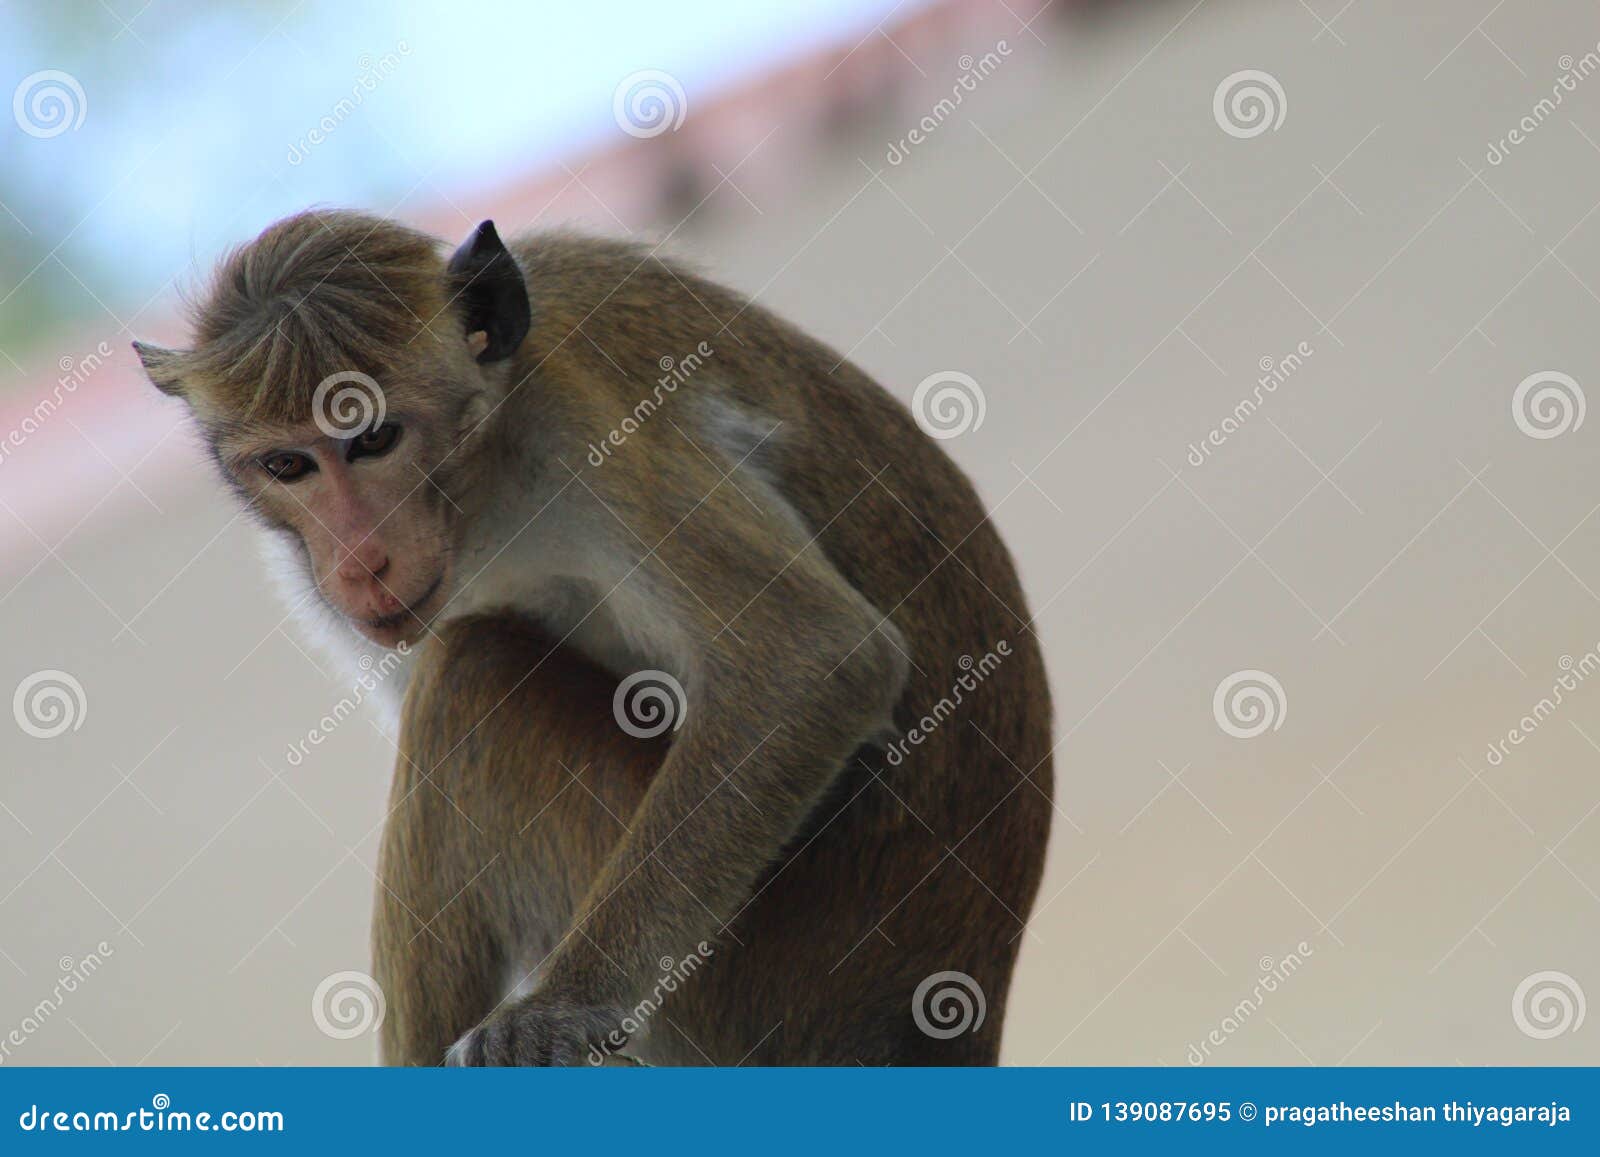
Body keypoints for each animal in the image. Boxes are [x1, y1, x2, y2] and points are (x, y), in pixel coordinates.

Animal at [134, 209, 1054, 1065]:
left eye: (373, 438)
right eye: (288, 466)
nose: (360, 559)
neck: (484, 478)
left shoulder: (585, 426)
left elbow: (817, 653)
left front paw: (564, 1003)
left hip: (756, 979)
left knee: (474, 672)